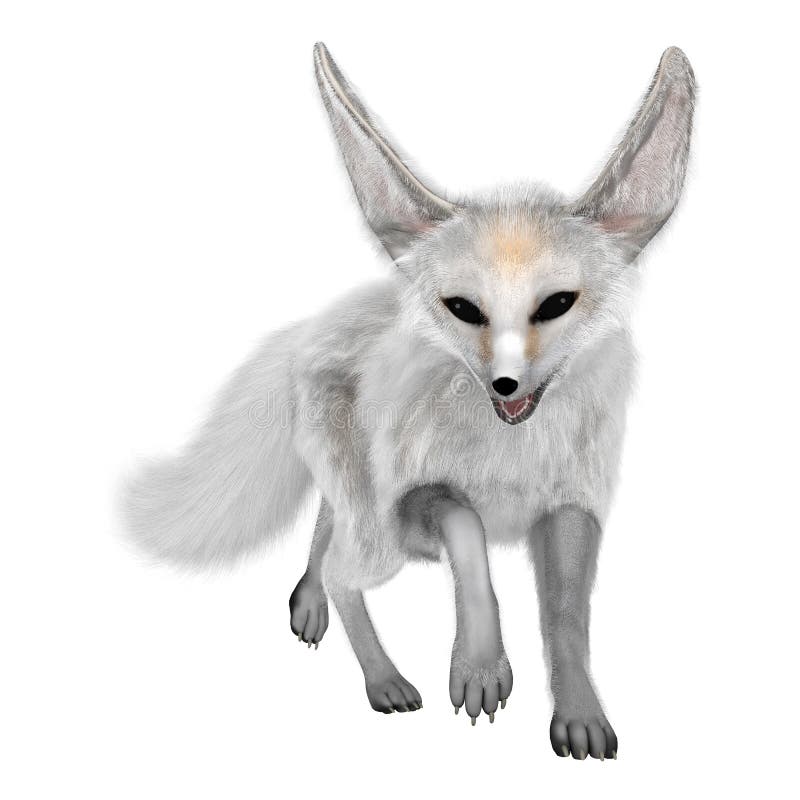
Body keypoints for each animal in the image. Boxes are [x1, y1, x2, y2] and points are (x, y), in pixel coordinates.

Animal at [122, 42, 695, 760]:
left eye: (557, 303)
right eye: (465, 310)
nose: (506, 385)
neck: (508, 460)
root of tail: (316, 326)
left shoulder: (570, 506)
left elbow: (567, 619)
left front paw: (579, 711)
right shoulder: (416, 502)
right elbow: (469, 529)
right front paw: (479, 664)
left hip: (364, 498)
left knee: (328, 533)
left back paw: (308, 600)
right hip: (380, 529)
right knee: (345, 570)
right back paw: (381, 679)